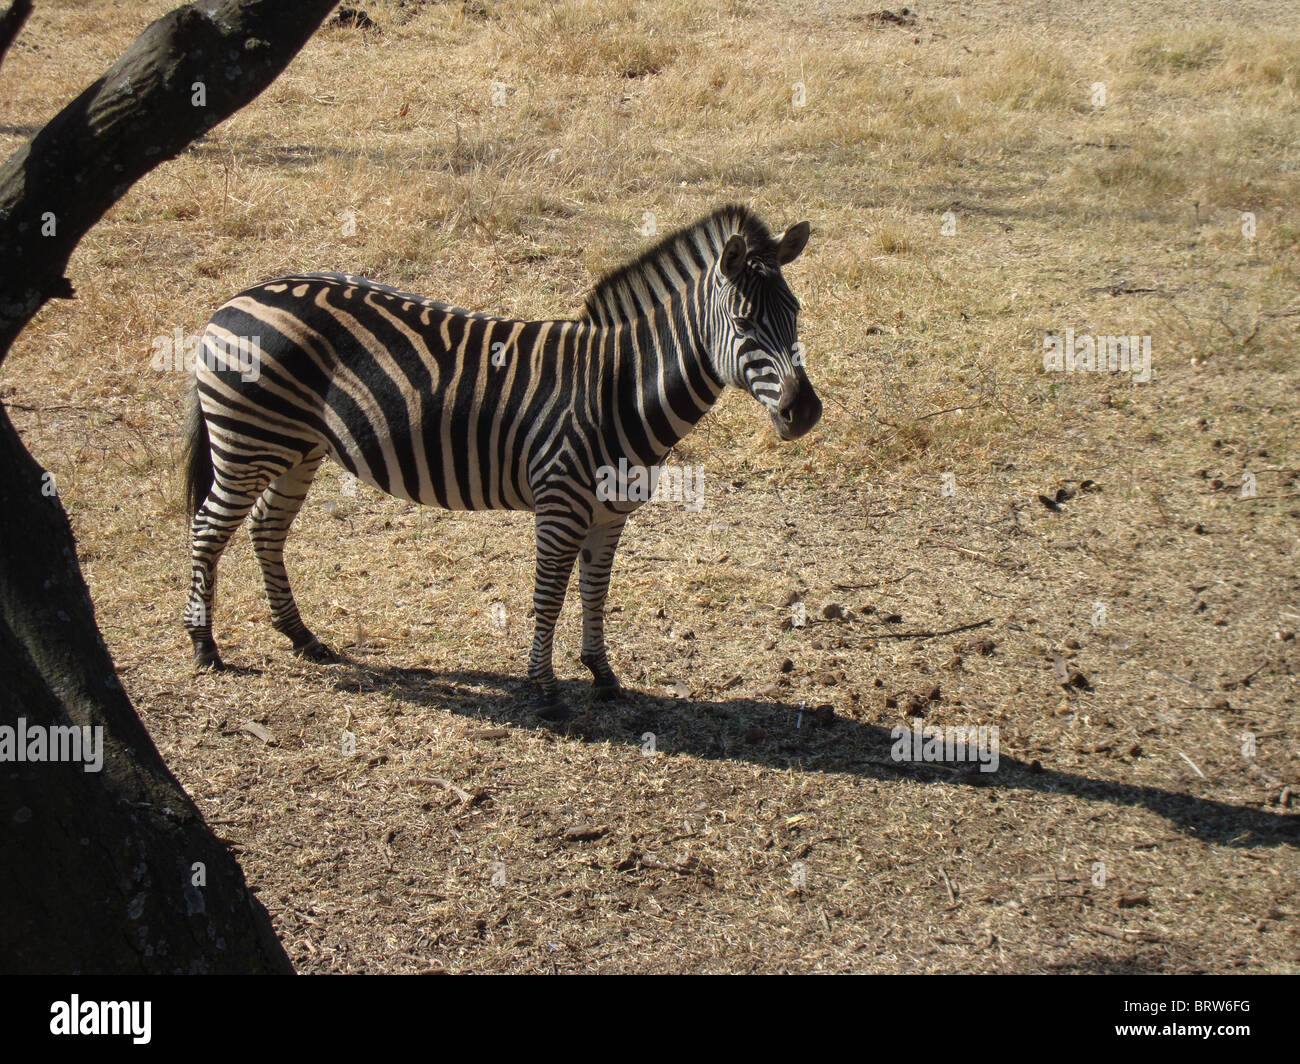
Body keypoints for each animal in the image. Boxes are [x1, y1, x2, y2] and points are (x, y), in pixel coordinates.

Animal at [183, 204, 821, 719]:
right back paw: (204, 644)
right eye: (742, 323)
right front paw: (545, 691)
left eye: (796, 313)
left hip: (297, 448)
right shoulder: (560, 504)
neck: (616, 387)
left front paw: (602, 674)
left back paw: (301, 637)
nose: (806, 412)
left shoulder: (611, 512)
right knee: (209, 529)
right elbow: (548, 595)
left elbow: (595, 589)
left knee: (266, 528)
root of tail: (236, 299)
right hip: (247, 441)